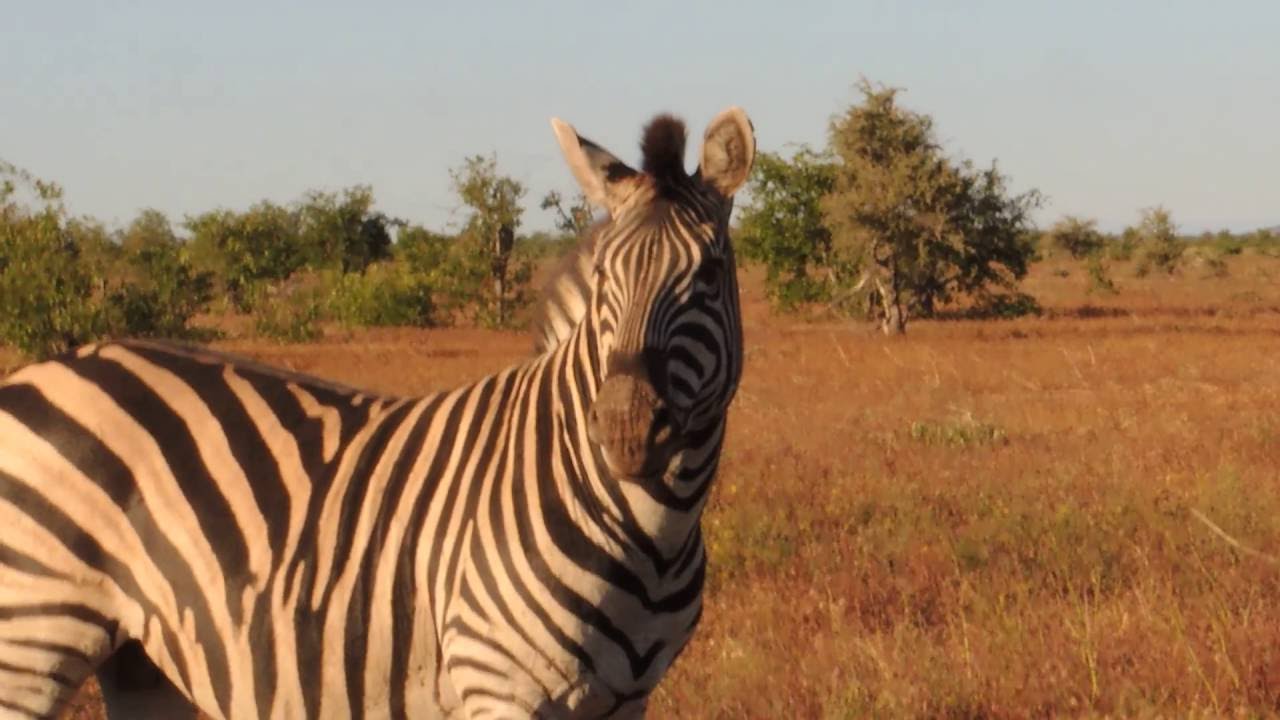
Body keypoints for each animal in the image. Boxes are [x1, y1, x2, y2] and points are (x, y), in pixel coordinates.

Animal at [0, 106, 755, 719]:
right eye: (603, 278)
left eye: (709, 274)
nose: (626, 430)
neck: (650, 532)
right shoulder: (498, 684)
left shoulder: (625, 701)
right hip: (30, 636)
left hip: (142, 662)